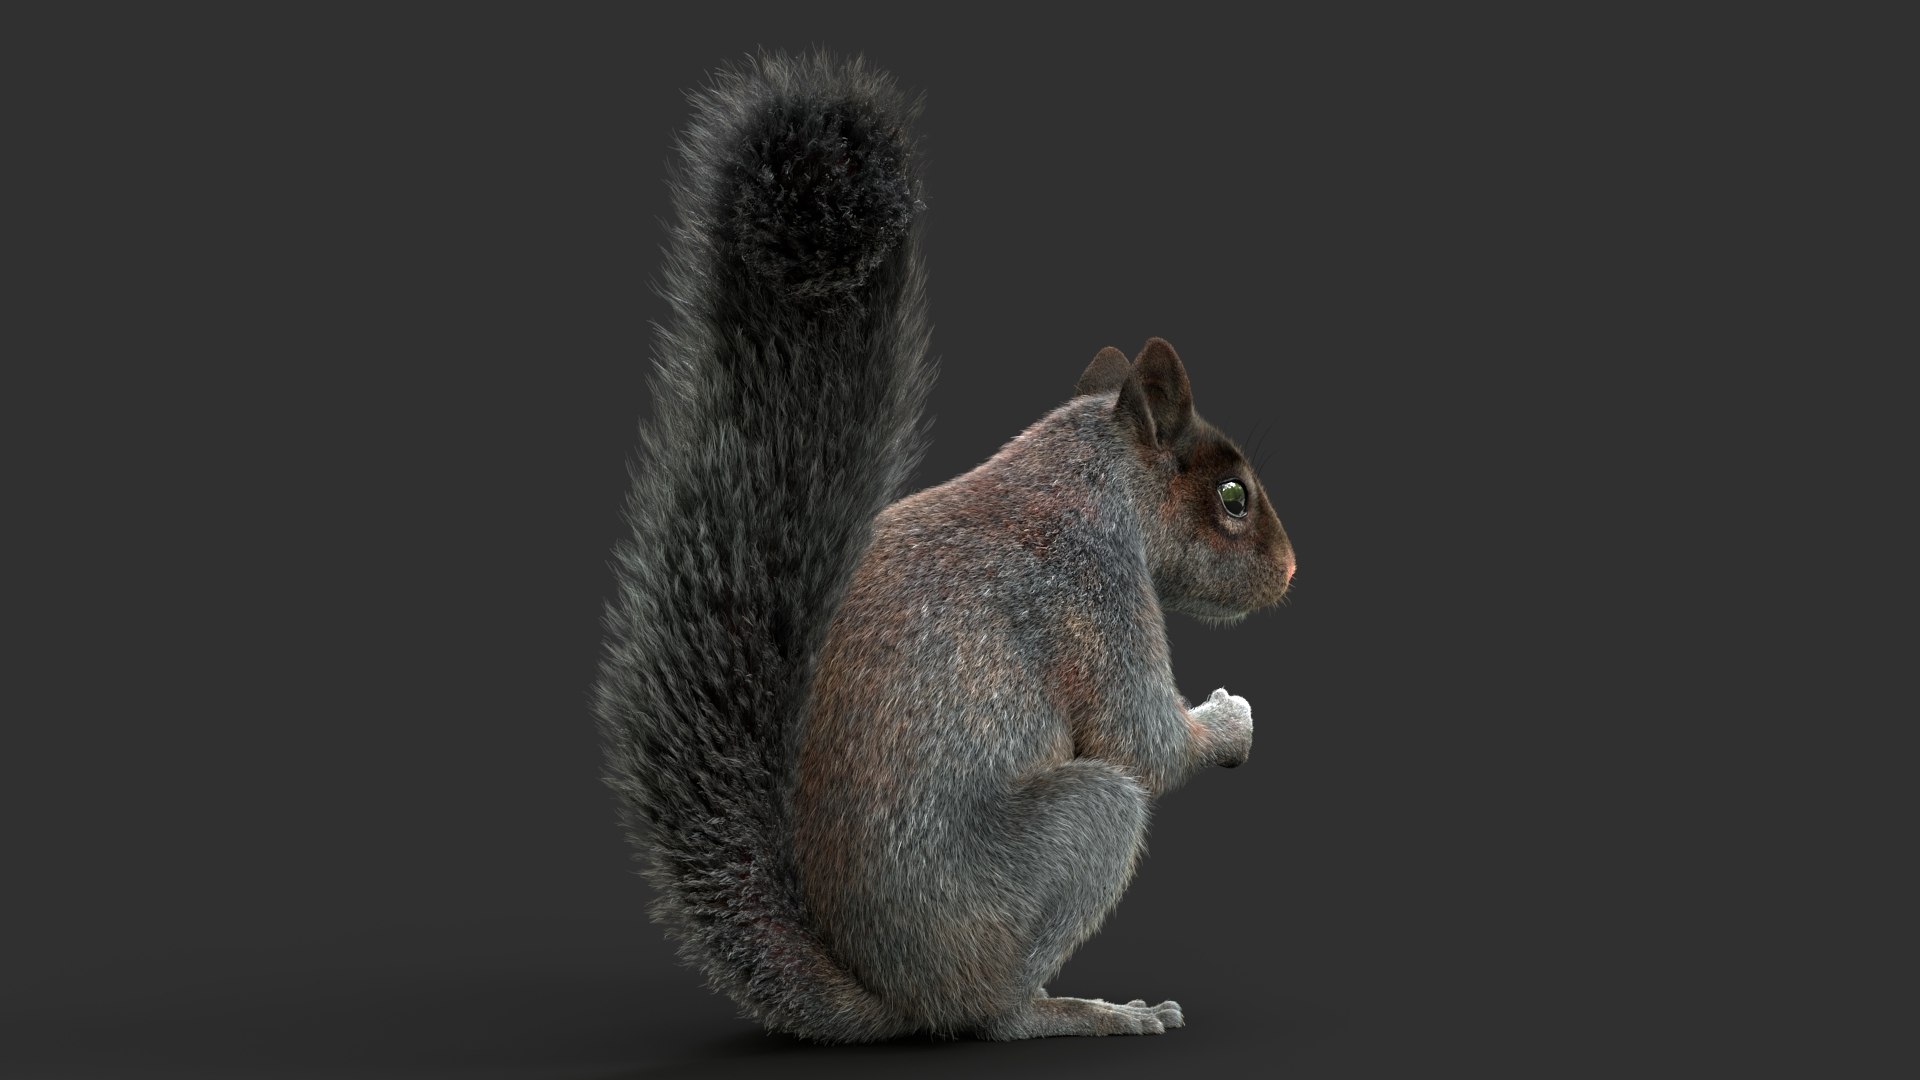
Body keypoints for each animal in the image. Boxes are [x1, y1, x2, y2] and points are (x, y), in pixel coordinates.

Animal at [594, 50, 1296, 1043]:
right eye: (1233, 499)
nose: (1291, 570)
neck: (1090, 476)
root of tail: (892, 996)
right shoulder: (1096, 595)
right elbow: (1145, 742)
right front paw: (1229, 721)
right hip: (1063, 846)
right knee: (995, 1010)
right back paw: (1083, 1011)